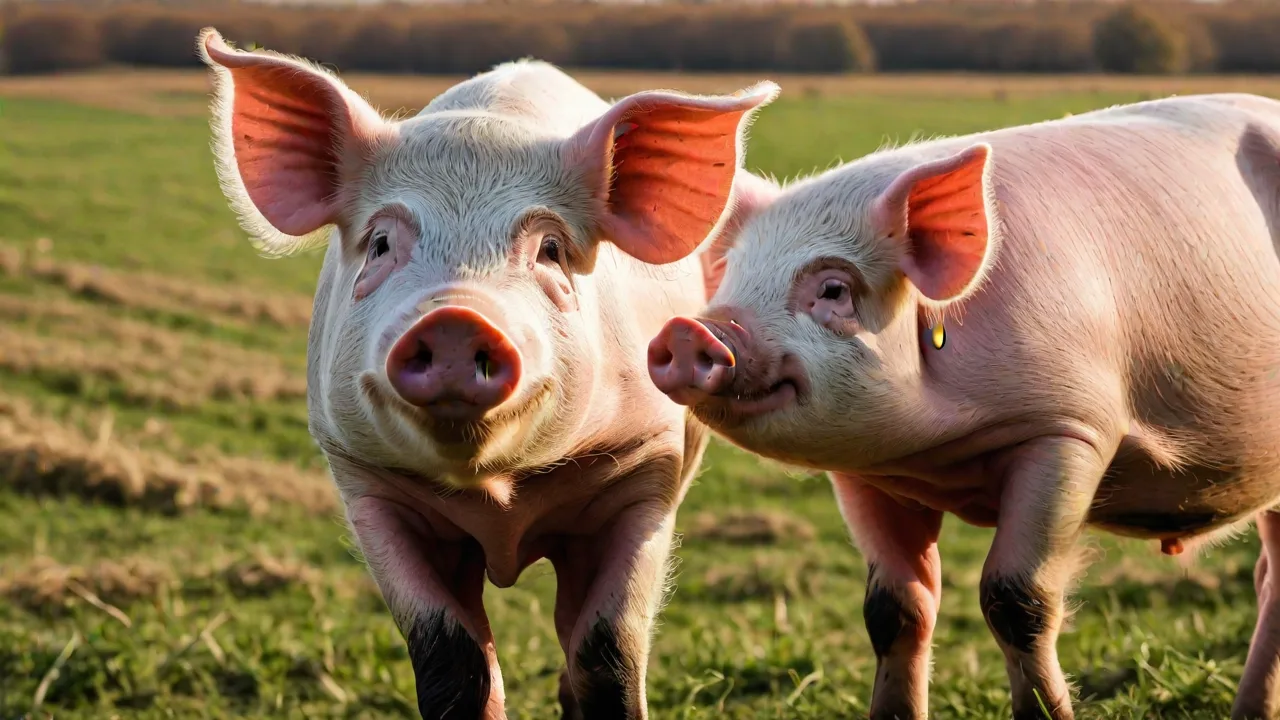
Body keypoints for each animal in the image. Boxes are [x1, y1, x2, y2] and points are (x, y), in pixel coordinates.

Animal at [196, 28, 778, 719]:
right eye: (381, 244)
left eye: (550, 249)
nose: (454, 319)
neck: (497, 498)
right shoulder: (368, 482)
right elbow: (452, 659)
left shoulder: (644, 468)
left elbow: (606, 648)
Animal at [645, 93, 1280, 720]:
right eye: (731, 276)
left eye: (833, 289)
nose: (690, 329)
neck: (937, 454)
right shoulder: (863, 474)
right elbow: (895, 608)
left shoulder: (1069, 429)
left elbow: (1015, 596)